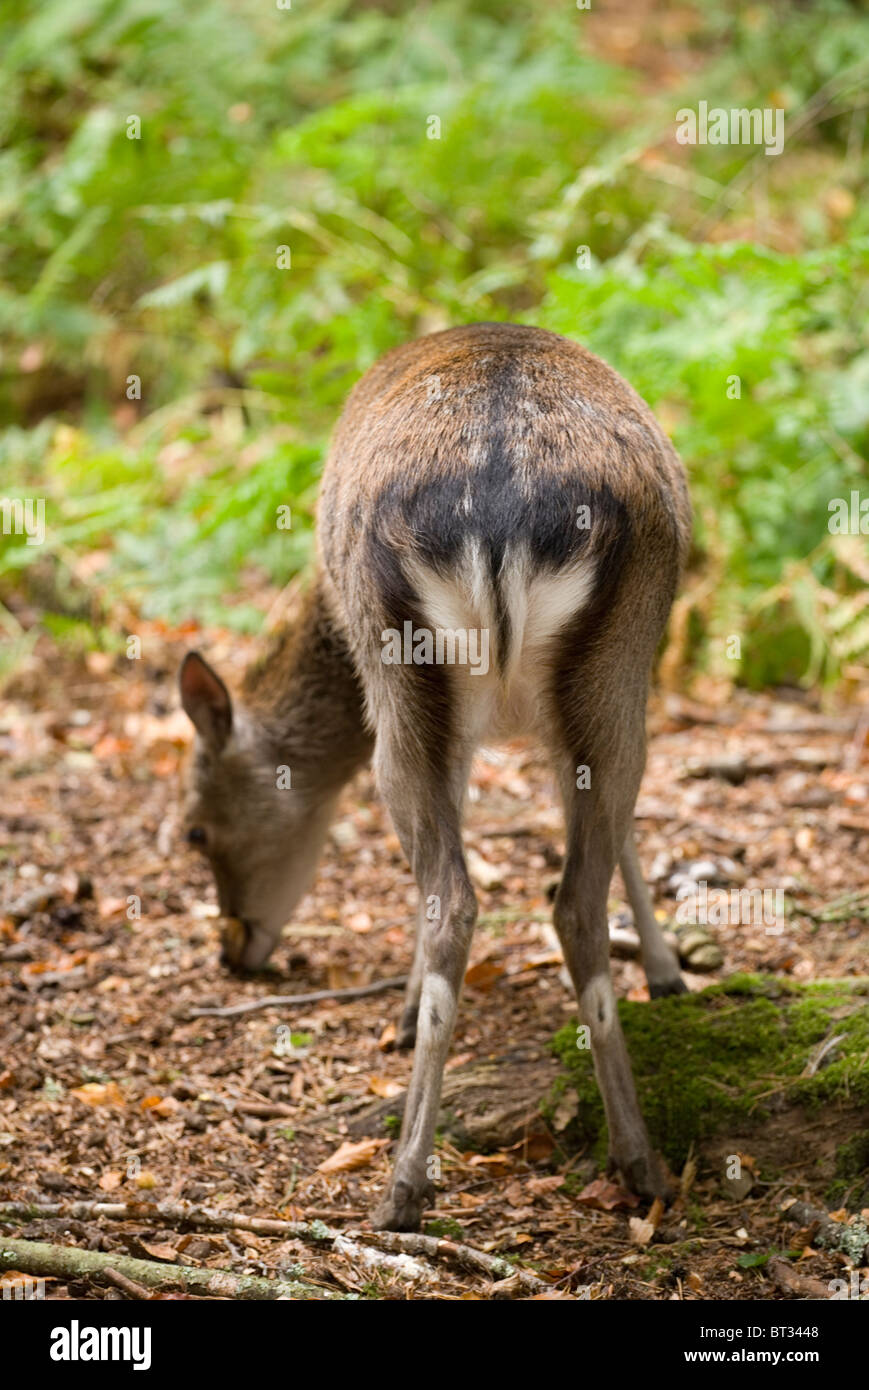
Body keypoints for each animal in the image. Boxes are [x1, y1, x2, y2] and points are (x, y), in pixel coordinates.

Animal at [178, 322, 691, 1231]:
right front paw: (667, 971)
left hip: (410, 691)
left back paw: (404, 1188)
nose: (233, 951)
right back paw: (633, 1162)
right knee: (562, 898)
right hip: (613, 665)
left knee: (465, 893)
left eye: (195, 830)